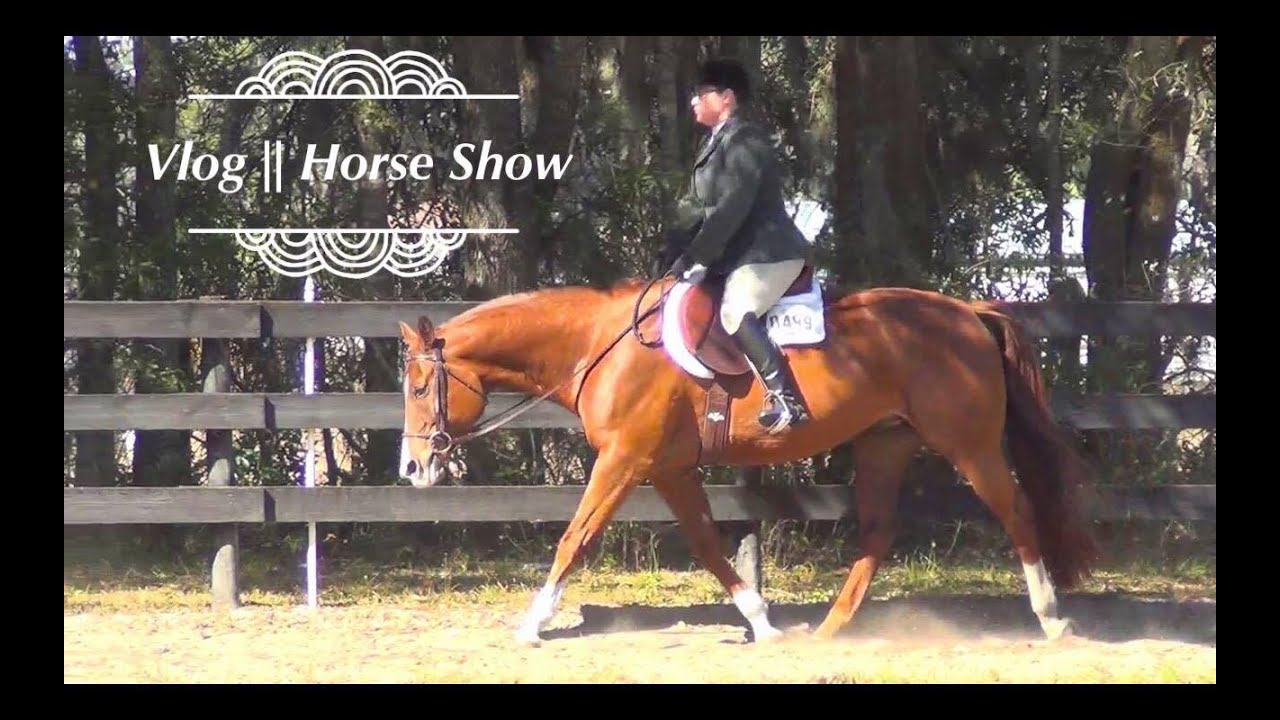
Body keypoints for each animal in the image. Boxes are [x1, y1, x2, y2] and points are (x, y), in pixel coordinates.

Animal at [397, 269, 1101, 646]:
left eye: (417, 386)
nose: (410, 470)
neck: (603, 346)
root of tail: (968, 313)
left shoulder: (623, 463)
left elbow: (575, 539)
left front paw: (532, 624)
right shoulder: (668, 470)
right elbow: (709, 546)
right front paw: (762, 623)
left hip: (970, 446)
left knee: (1018, 513)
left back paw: (1051, 618)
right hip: (885, 444)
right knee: (878, 533)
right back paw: (830, 629)